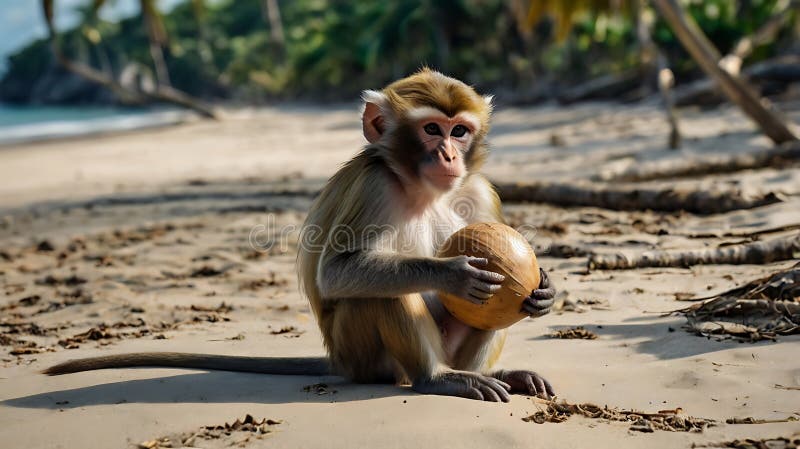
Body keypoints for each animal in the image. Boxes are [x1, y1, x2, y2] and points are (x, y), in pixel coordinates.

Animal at [43, 69, 556, 402]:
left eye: (460, 131)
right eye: (432, 129)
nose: (449, 155)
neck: (422, 188)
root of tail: (338, 361)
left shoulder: (479, 190)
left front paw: (544, 291)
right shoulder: (373, 184)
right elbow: (338, 273)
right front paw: (453, 274)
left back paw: (493, 373)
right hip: (362, 355)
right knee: (382, 288)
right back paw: (438, 378)